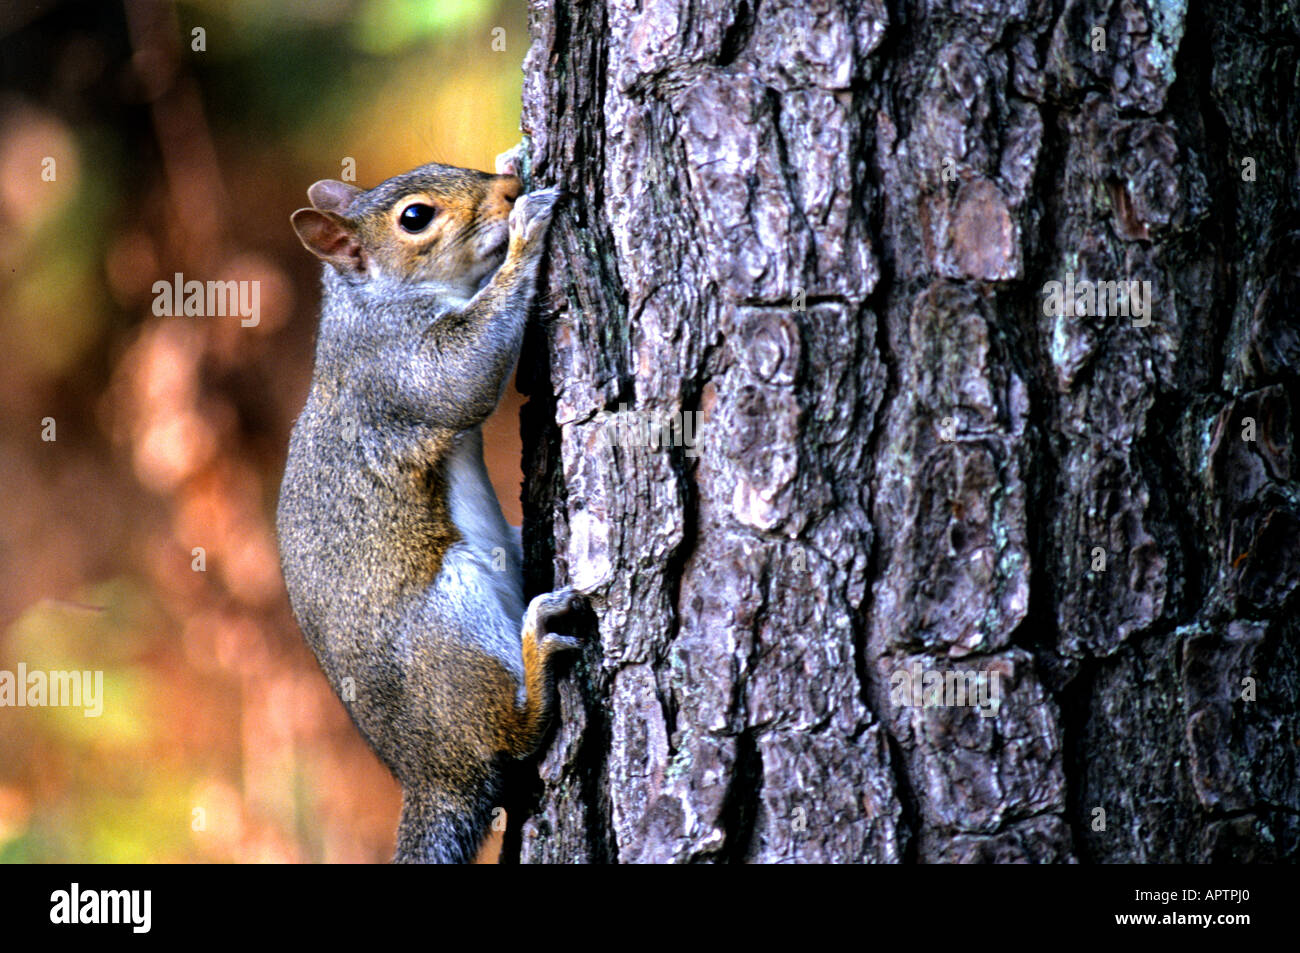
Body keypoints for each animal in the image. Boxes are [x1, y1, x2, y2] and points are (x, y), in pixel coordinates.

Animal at [276, 158, 578, 863]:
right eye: (415, 217)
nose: (509, 190)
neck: (367, 302)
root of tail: (429, 776)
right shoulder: (397, 368)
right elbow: (462, 377)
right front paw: (526, 236)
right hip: (447, 625)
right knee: (508, 740)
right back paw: (535, 665)